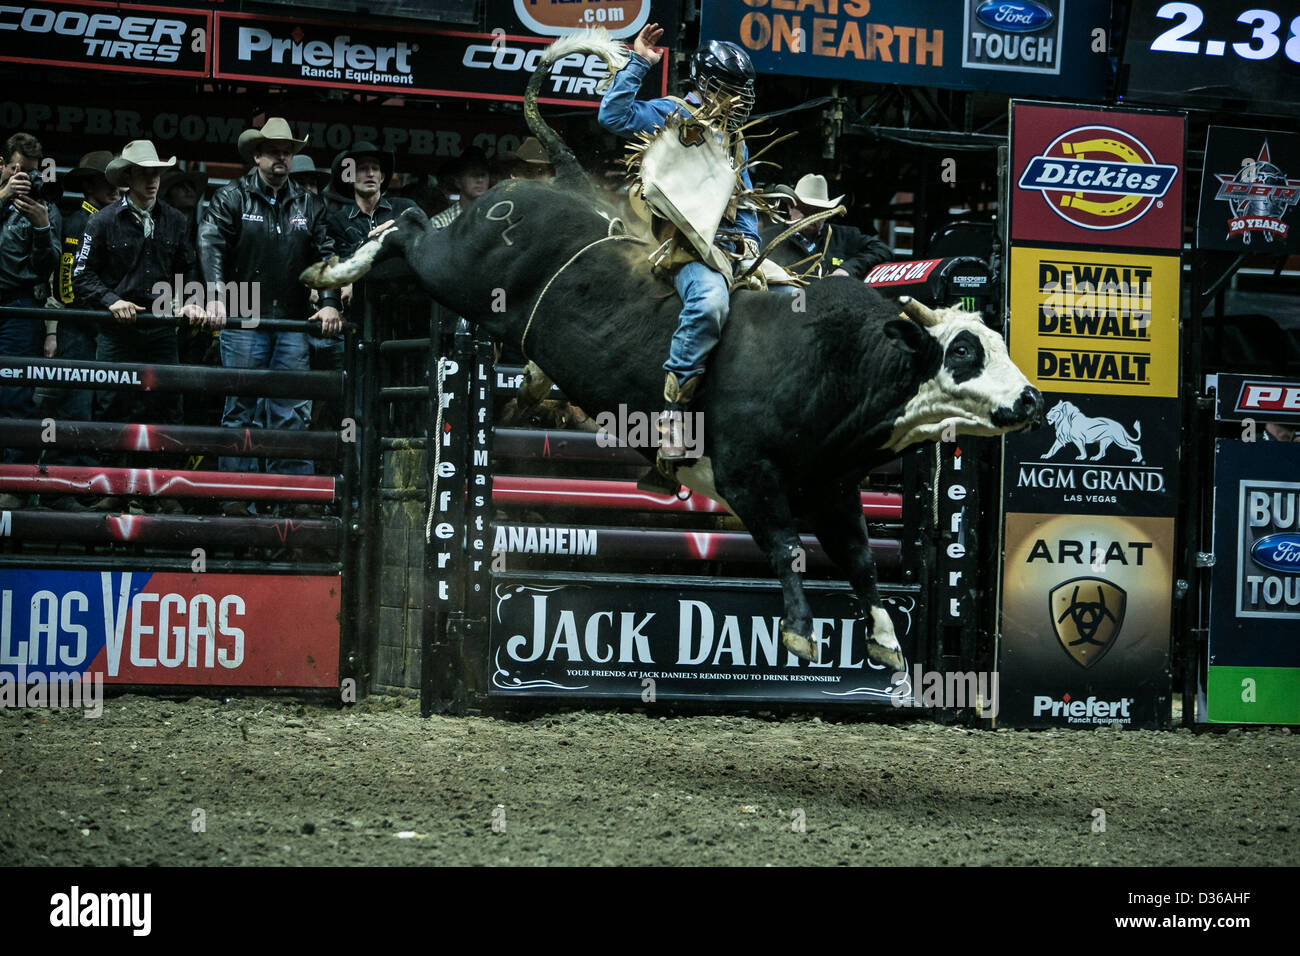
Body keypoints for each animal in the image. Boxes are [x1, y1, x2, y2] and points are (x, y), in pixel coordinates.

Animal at [302, 31, 1044, 671]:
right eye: (964, 353)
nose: (1033, 398)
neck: (834, 363)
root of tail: (555, 179)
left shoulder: (834, 487)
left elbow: (859, 559)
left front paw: (887, 639)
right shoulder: (747, 475)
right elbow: (786, 548)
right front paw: (801, 634)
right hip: (456, 269)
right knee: (406, 224)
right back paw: (335, 269)